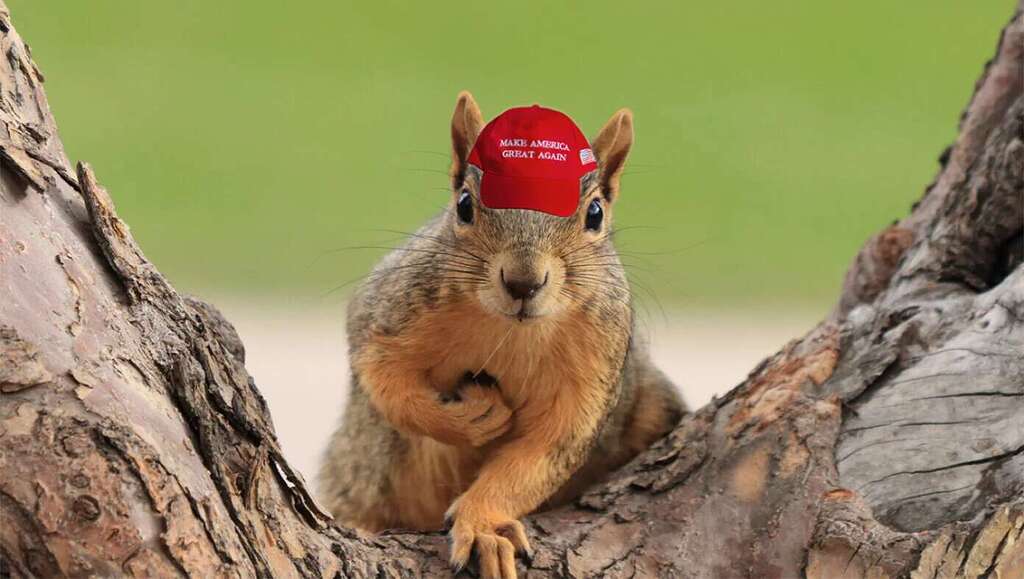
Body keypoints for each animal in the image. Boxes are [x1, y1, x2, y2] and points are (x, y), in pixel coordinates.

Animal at [317, 91, 686, 579]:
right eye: (464, 205)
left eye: (595, 213)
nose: (523, 283)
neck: (509, 332)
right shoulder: (388, 312)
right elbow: (385, 382)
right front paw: (469, 419)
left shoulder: (593, 374)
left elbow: (541, 455)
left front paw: (484, 527)